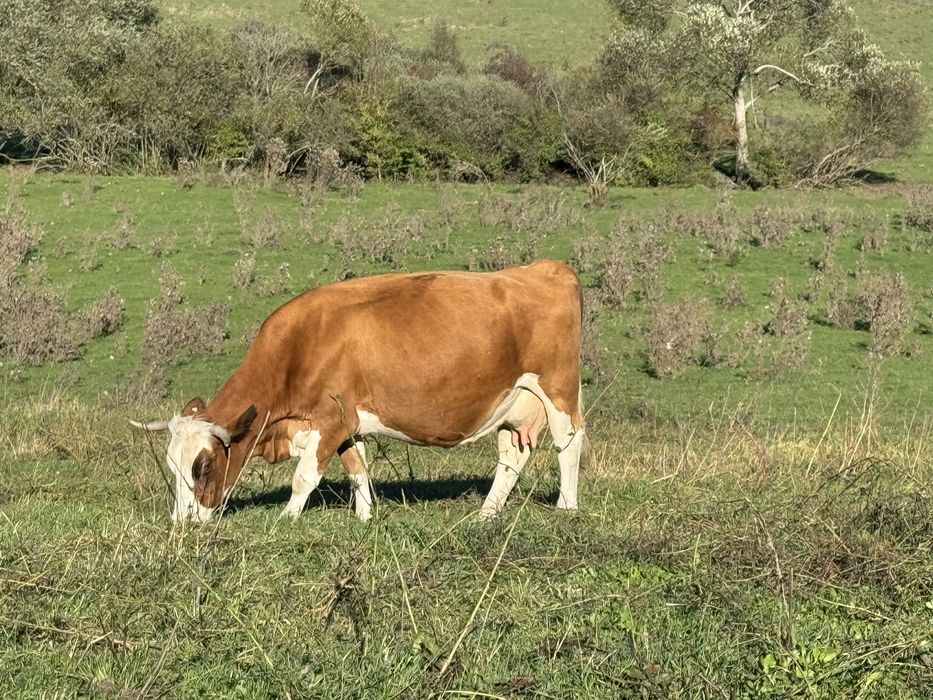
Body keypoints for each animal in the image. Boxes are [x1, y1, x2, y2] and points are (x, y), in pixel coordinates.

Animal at [131, 259, 585, 522]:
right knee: (512, 456)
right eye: (172, 465)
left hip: (557, 389)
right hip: (514, 405)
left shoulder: (332, 420)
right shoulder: (348, 423)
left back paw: (566, 506)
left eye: (204, 466)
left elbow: (304, 477)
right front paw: (366, 518)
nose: (183, 524)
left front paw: (287, 518)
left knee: (569, 442)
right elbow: (358, 469)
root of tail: (545, 268)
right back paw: (487, 514)